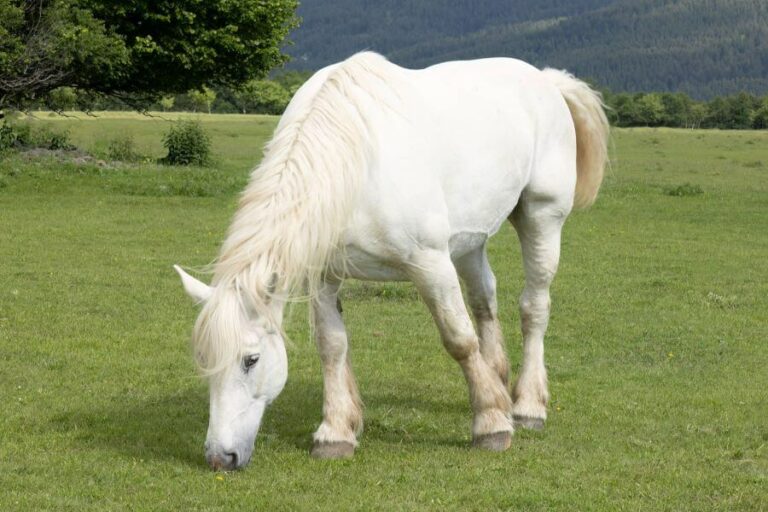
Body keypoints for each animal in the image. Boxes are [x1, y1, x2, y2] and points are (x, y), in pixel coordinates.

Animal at [174, 51, 609, 471]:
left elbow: (459, 339)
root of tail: (545, 79)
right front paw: (336, 431)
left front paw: (490, 424)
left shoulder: (431, 264)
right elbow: (332, 345)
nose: (220, 457)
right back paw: (498, 381)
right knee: (485, 301)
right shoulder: (324, 274)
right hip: (470, 240)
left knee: (533, 307)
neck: (355, 161)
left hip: (541, 216)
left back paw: (527, 405)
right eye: (203, 359)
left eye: (251, 360)